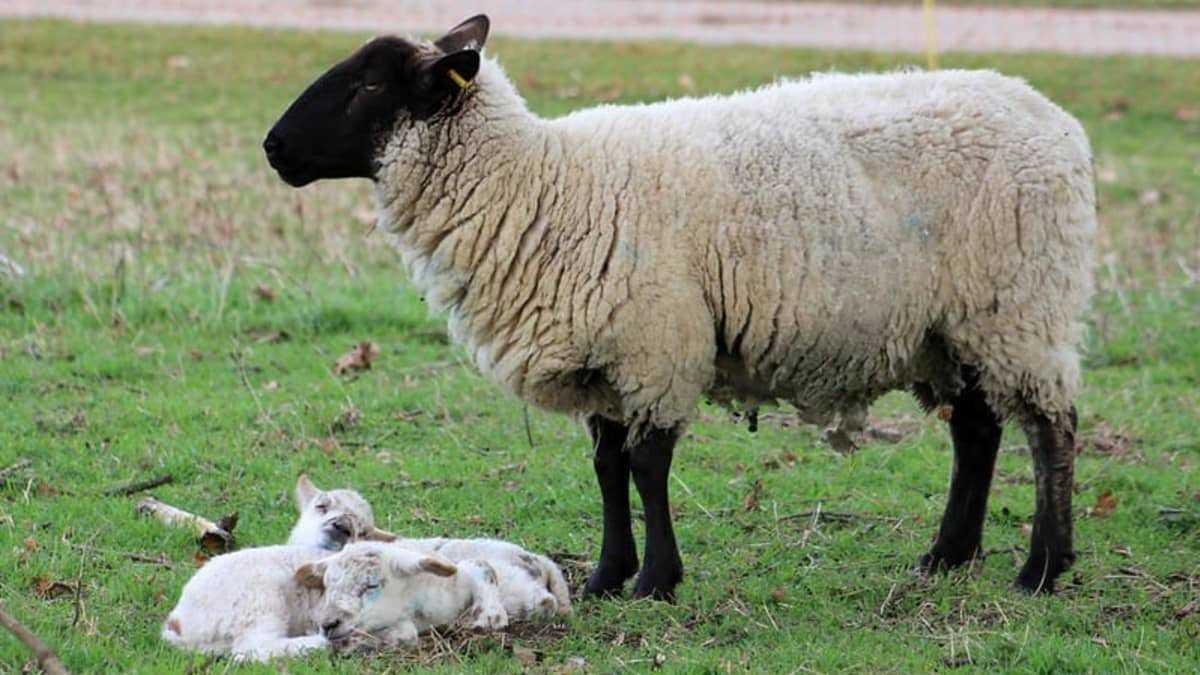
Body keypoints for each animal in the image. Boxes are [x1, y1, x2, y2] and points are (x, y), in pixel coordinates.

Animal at [264, 14, 1096, 600]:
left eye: (370, 87)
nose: (273, 148)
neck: (539, 184)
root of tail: (1058, 122)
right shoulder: (604, 356)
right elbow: (606, 467)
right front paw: (606, 574)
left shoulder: (655, 342)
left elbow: (647, 465)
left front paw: (656, 579)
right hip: (954, 324)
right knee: (978, 430)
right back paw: (946, 556)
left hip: (1020, 304)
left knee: (1050, 427)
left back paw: (1043, 568)